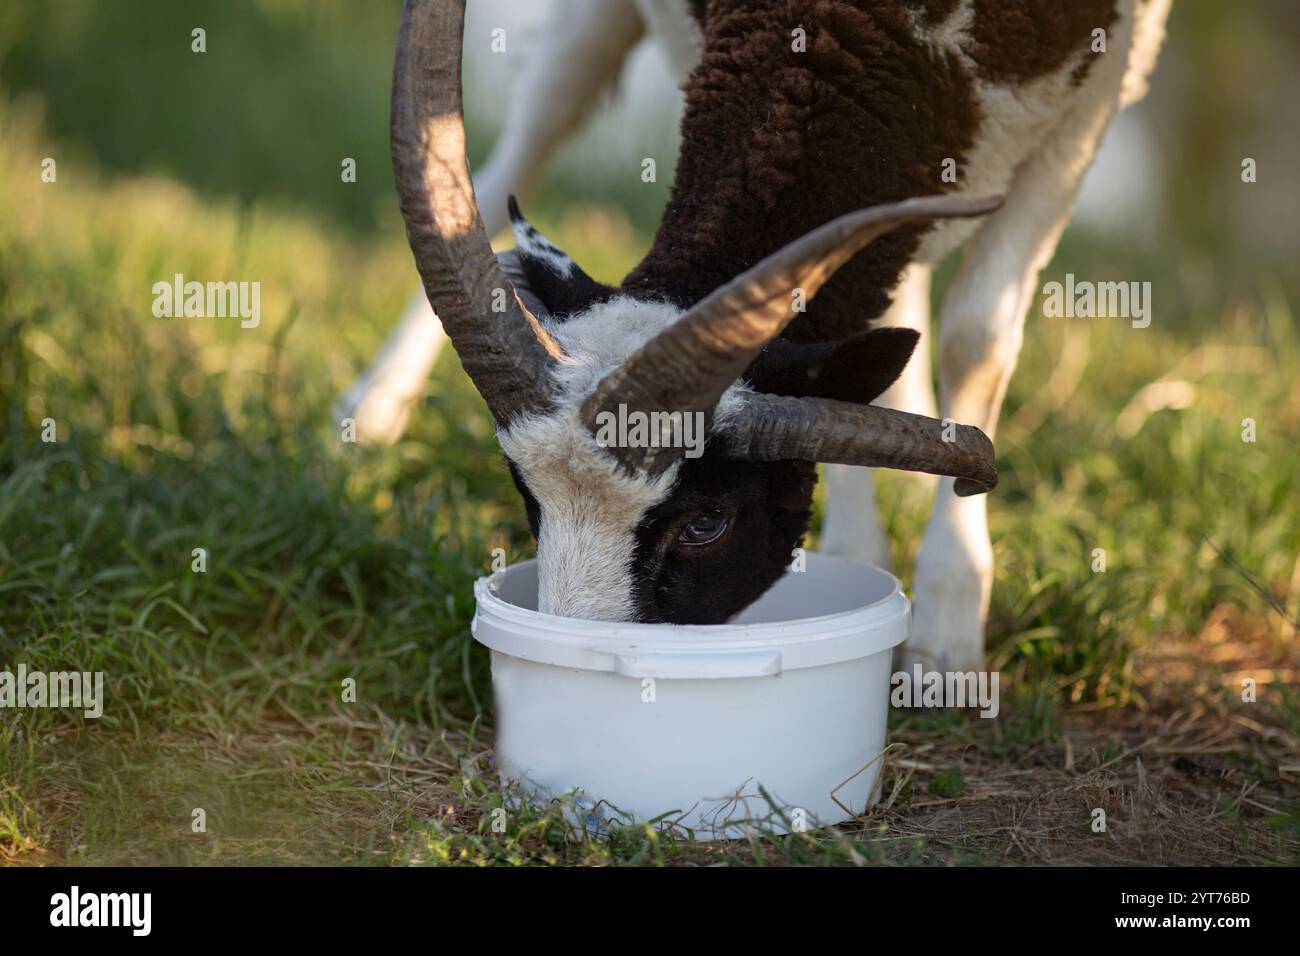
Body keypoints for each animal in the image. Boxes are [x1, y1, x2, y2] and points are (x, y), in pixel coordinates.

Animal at [382, 0, 1171, 670]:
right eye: (526, 495)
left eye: (706, 524)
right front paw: (868, 554)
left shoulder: (1096, 92)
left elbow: (974, 339)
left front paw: (947, 640)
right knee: (529, 139)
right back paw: (372, 413)